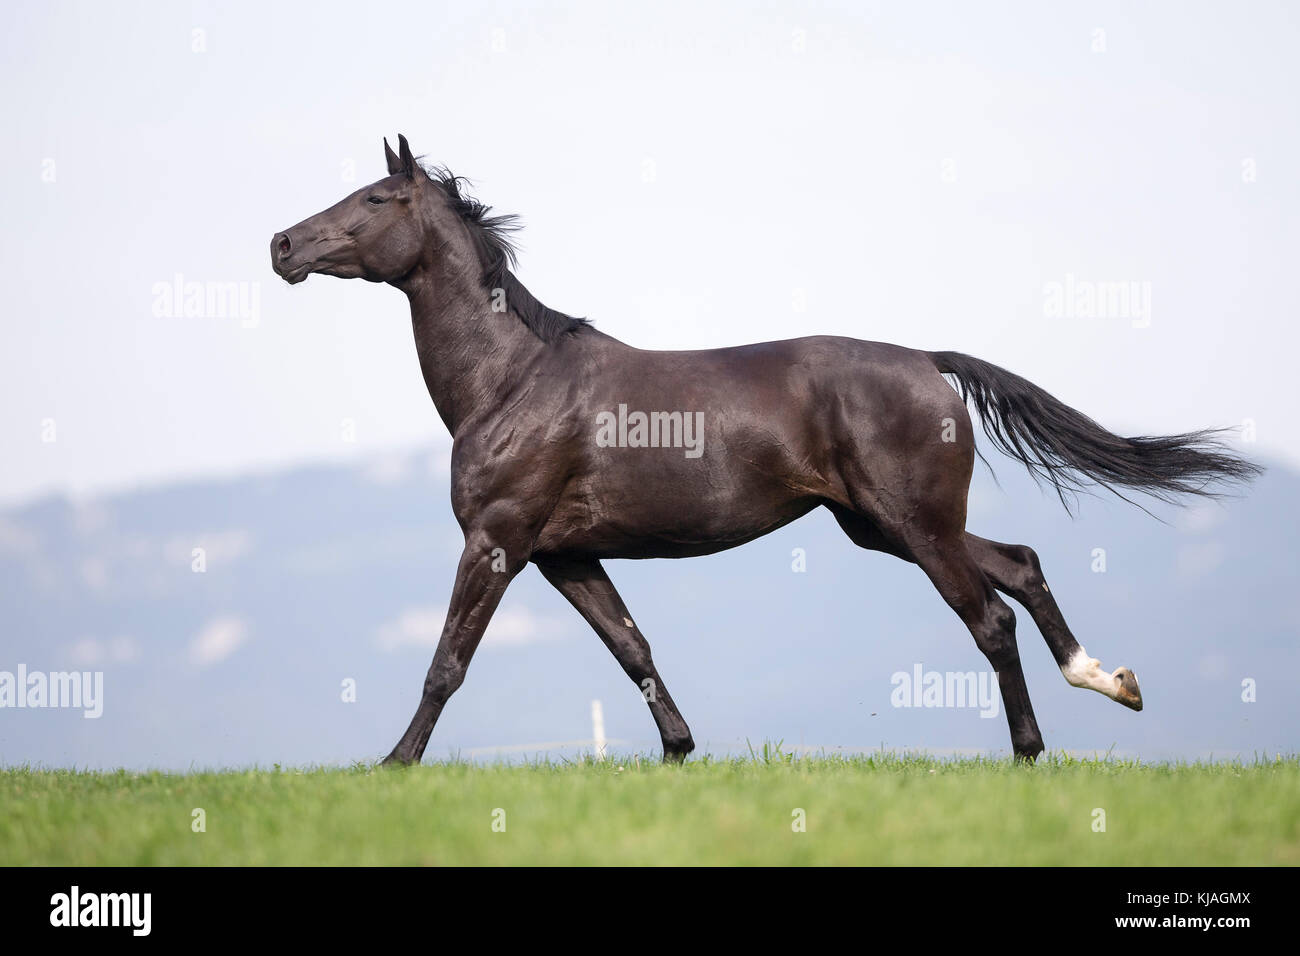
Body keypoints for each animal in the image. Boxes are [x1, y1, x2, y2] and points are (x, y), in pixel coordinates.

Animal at [271, 135, 1258, 764]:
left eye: (376, 199)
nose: (281, 244)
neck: (513, 382)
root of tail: (929, 362)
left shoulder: (498, 541)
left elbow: (448, 662)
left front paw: (393, 764)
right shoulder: (564, 554)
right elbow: (632, 648)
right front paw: (678, 750)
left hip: (914, 526)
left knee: (990, 617)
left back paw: (1030, 750)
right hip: (883, 526)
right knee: (1019, 565)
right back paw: (1112, 680)